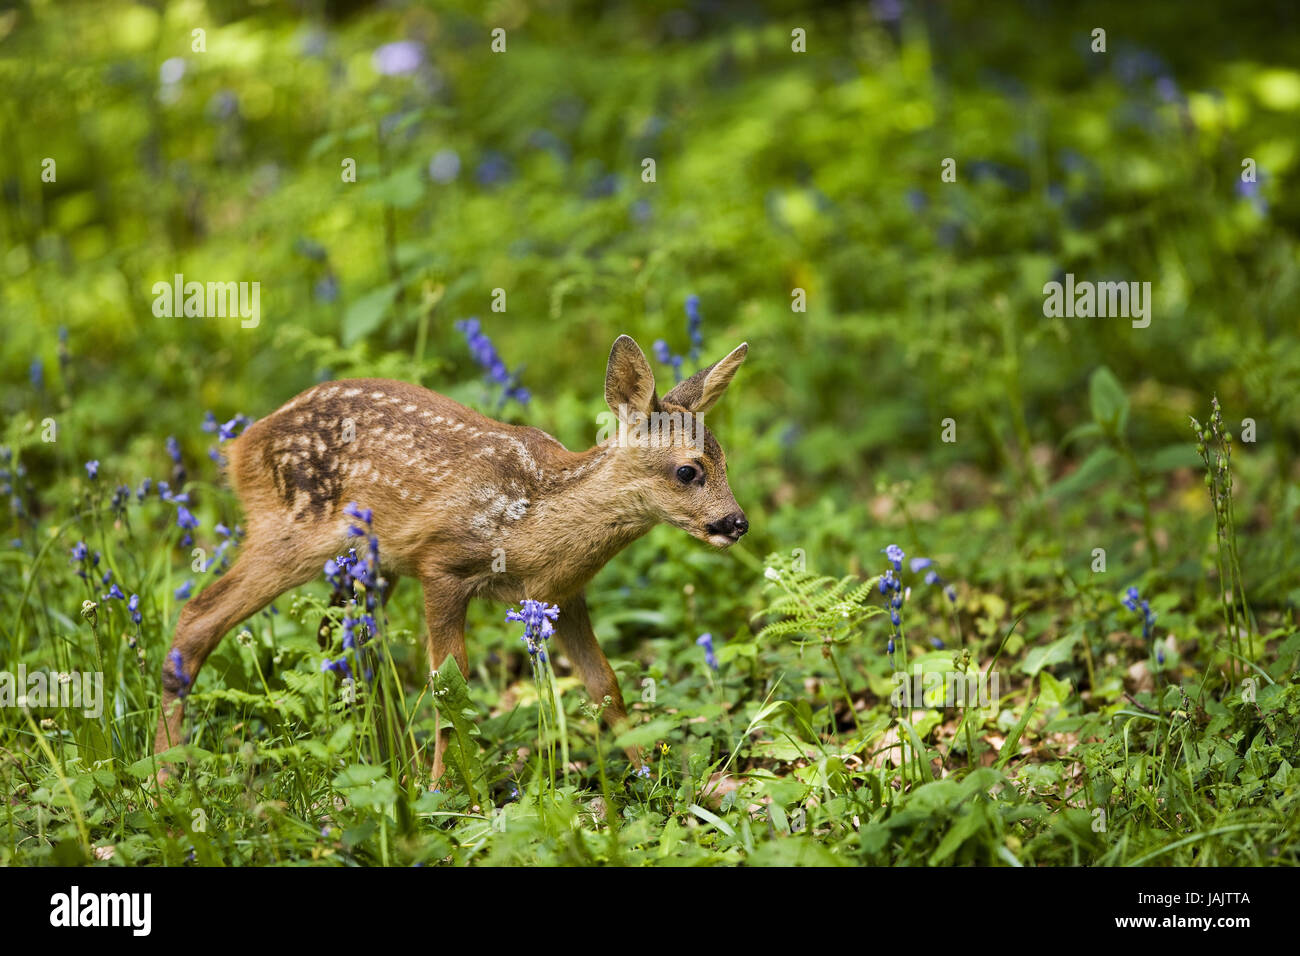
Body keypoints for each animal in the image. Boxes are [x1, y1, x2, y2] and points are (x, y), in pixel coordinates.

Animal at [153, 334, 750, 785]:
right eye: (688, 470)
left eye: (724, 461)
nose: (736, 523)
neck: (536, 518)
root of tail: (237, 447)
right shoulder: (441, 565)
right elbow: (448, 684)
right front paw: (447, 792)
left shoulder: (562, 594)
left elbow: (604, 684)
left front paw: (650, 777)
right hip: (289, 531)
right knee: (199, 615)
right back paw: (163, 777)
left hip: (365, 566)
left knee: (347, 647)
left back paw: (384, 761)